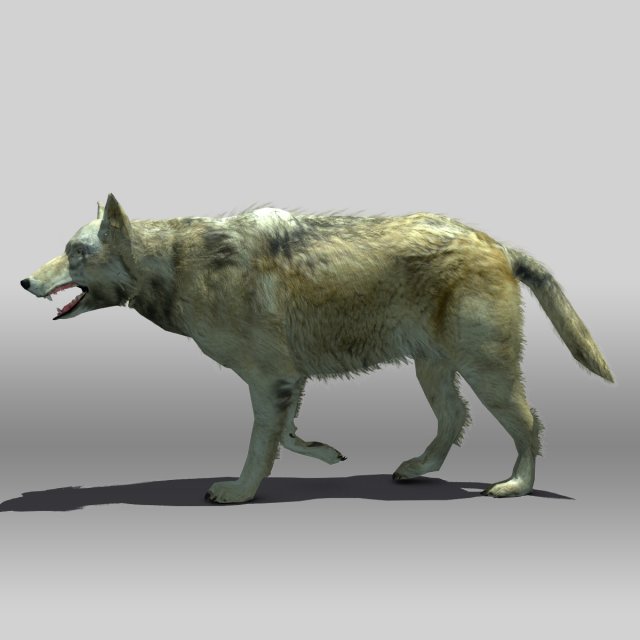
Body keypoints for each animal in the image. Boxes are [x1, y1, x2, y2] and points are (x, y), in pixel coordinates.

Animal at [21, 194, 613, 502]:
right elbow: (286, 435)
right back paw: (418, 468)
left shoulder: (270, 380)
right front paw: (326, 453)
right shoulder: (288, 379)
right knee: (454, 418)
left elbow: (260, 445)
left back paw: (516, 485)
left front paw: (239, 492)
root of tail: (498, 244)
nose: (24, 281)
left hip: (487, 372)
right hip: (434, 370)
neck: (177, 265)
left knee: (529, 422)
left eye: (75, 252)